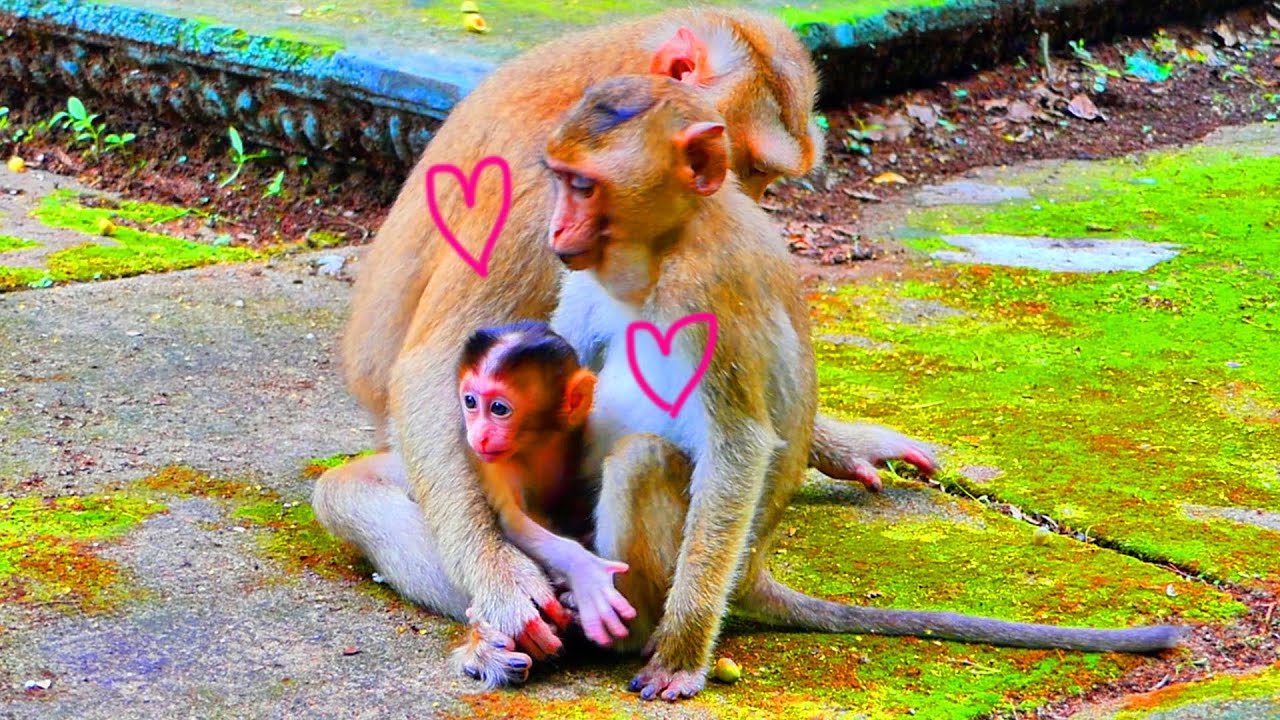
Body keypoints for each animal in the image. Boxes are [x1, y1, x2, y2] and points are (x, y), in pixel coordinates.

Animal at [456, 320, 637, 652]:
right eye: (471, 402)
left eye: (499, 408)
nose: (479, 435)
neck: (536, 443)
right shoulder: (496, 463)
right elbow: (515, 521)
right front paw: (583, 569)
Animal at [542, 74, 1187, 703]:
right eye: (561, 181)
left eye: (584, 186)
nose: (557, 227)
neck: (667, 244)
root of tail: (754, 572)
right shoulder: (587, 278)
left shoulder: (708, 293)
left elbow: (740, 447)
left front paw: (682, 654)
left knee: (642, 460)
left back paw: (624, 626)